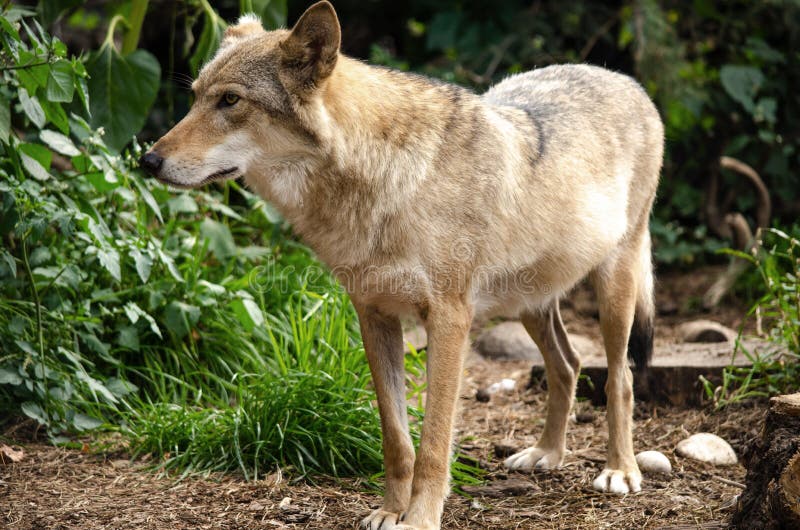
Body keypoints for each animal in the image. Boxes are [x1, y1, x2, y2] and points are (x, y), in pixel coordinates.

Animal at [140, 2, 663, 528]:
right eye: (195, 98)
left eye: (230, 101)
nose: (148, 160)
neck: (385, 182)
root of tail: (629, 81)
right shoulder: (374, 317)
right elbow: (395, 438)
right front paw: (391, 511)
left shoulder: (450, 320)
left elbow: (433, 441)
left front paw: (420, 518)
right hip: (530, 302)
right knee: (568, 365)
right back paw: (546, 454)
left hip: (613, 291)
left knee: (621, 378)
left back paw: (620, 470)